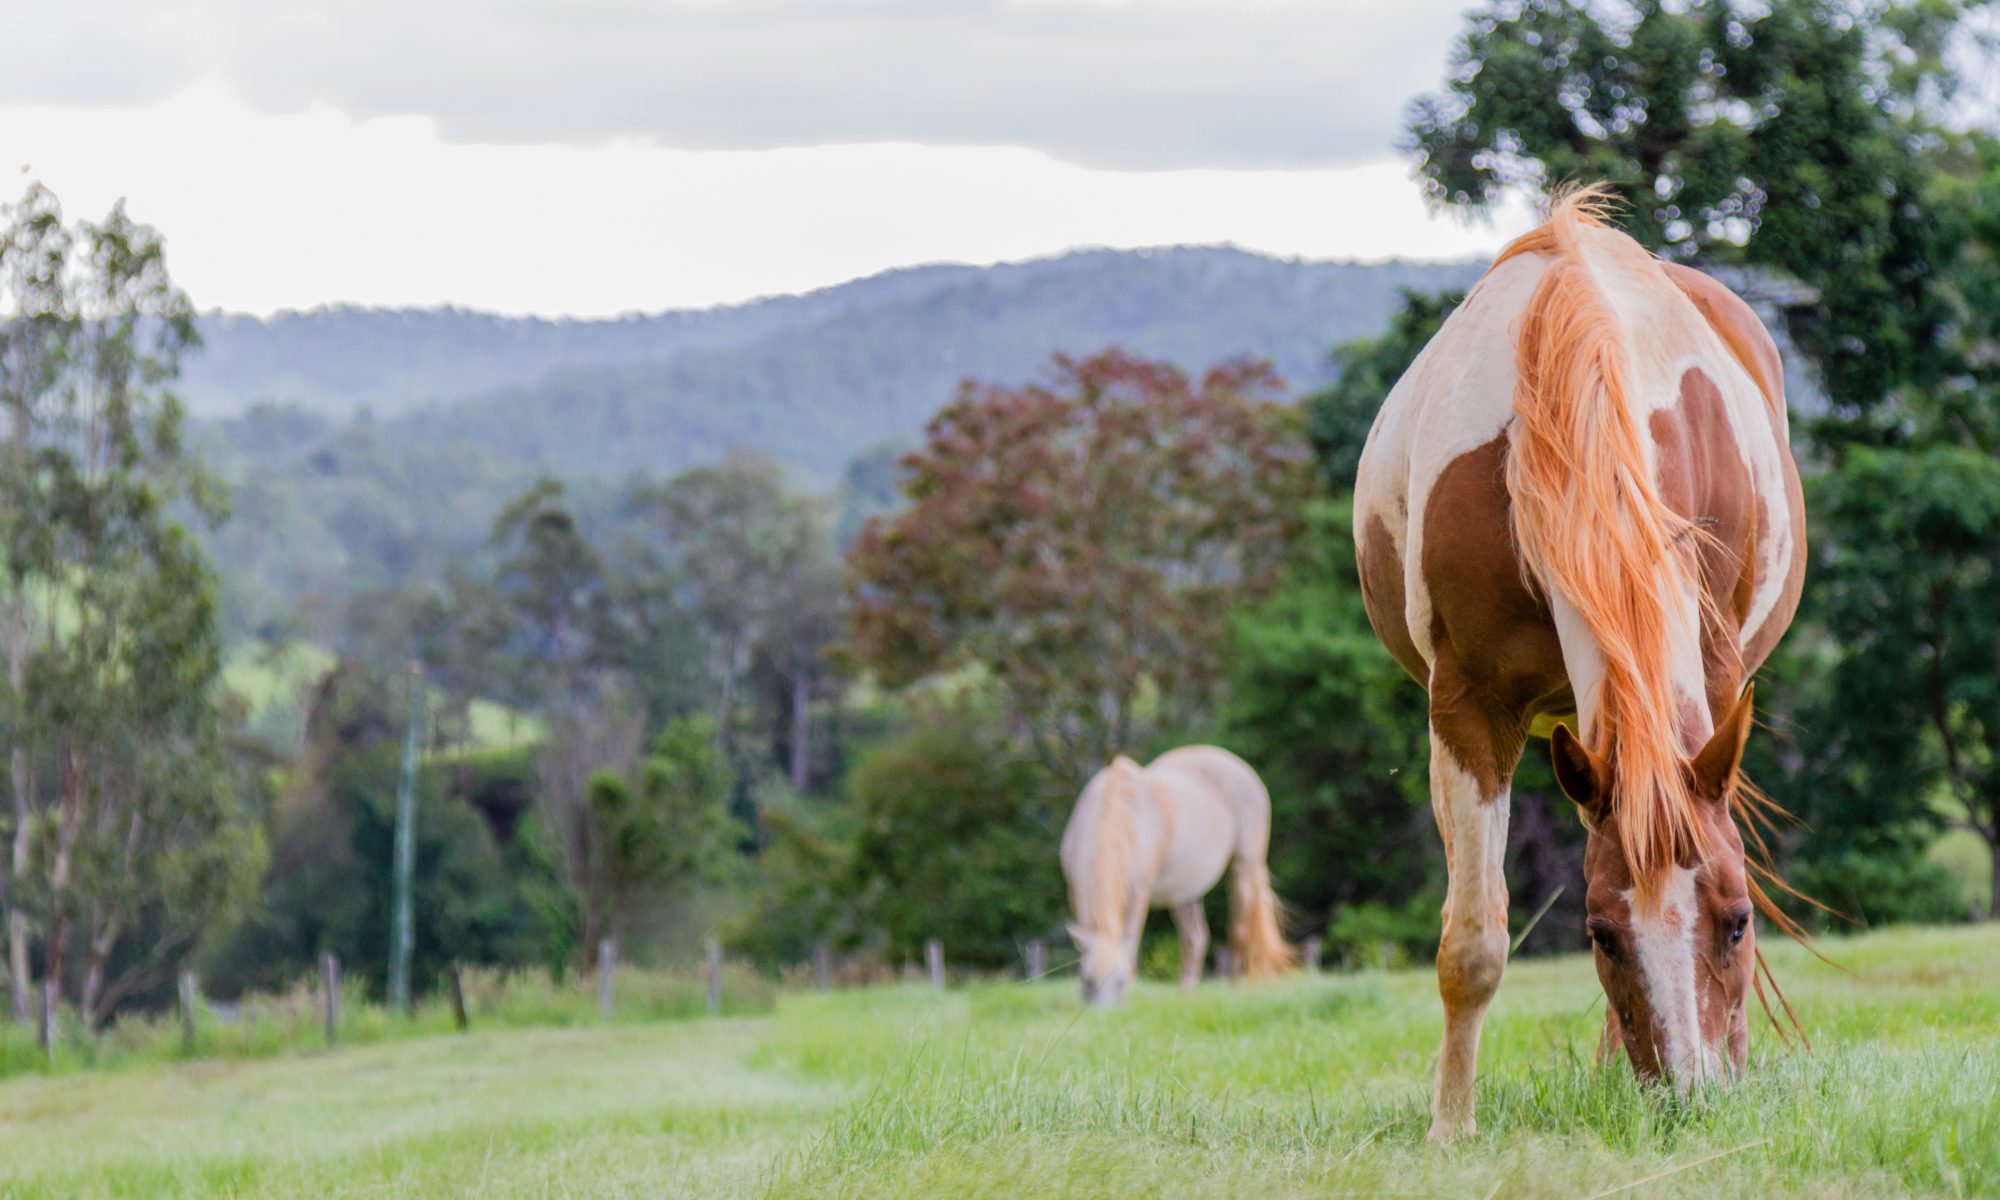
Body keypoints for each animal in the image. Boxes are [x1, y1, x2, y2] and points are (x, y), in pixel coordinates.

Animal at [1060, 746, 1296, 1005]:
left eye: (1121, 982)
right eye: (1086, 980)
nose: (1106, 1013)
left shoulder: (1138, 892)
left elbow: (1131, 940)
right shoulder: (1075, 890)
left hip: (1243, 870)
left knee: (1238, 932)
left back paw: (1233, 991)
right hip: (1185, 891)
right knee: (1195, 938)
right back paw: (1185, 995)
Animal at [1353, 186, 1806, 1140]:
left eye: (1739, 920)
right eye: (1599, 934)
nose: (1691, 1101)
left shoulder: (1709, 687)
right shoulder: (1469, 708)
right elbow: (1472, 941)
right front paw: (1451, 1130)